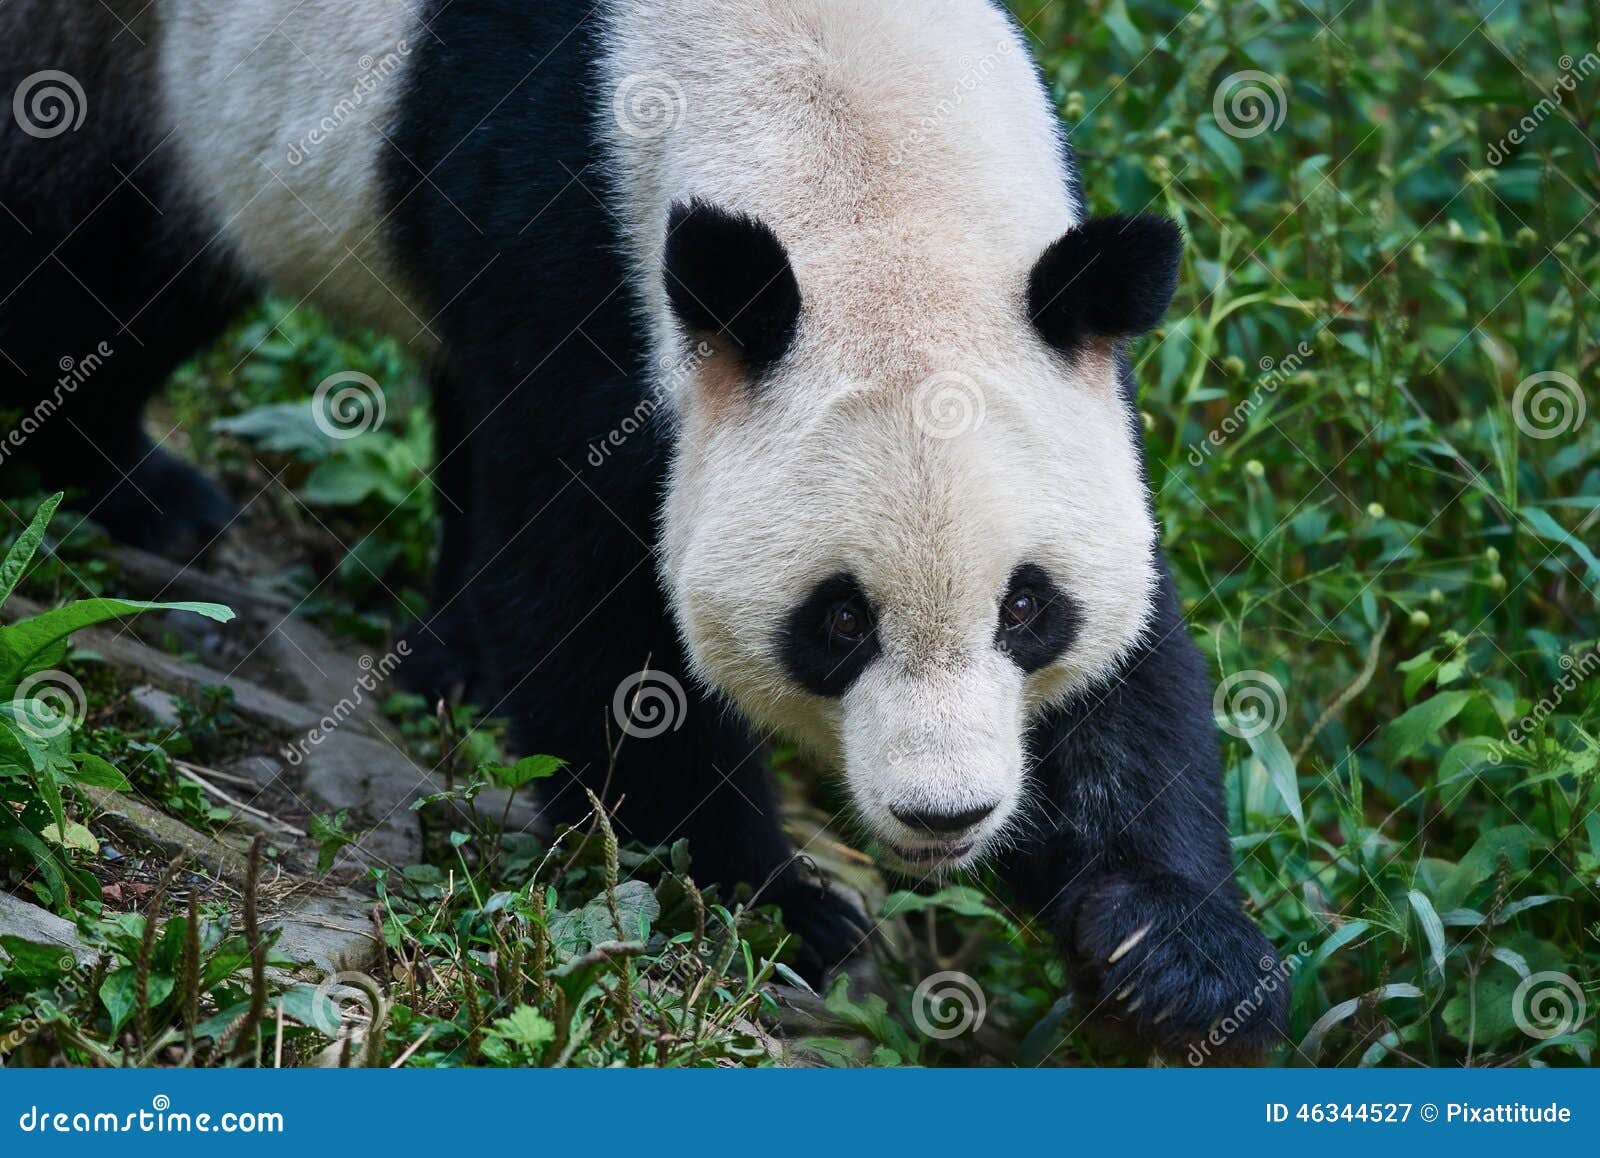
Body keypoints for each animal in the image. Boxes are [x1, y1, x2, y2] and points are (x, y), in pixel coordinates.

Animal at [1, 0, 1287, 1056]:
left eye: (1026, 608)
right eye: (837, 621)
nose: (945, 815)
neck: (865, 166)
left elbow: (1136, 670)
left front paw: (1174, 957)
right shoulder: (572, 230)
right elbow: (591, 604)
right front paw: (778, 910)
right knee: (92, 253)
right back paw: (135, 488)